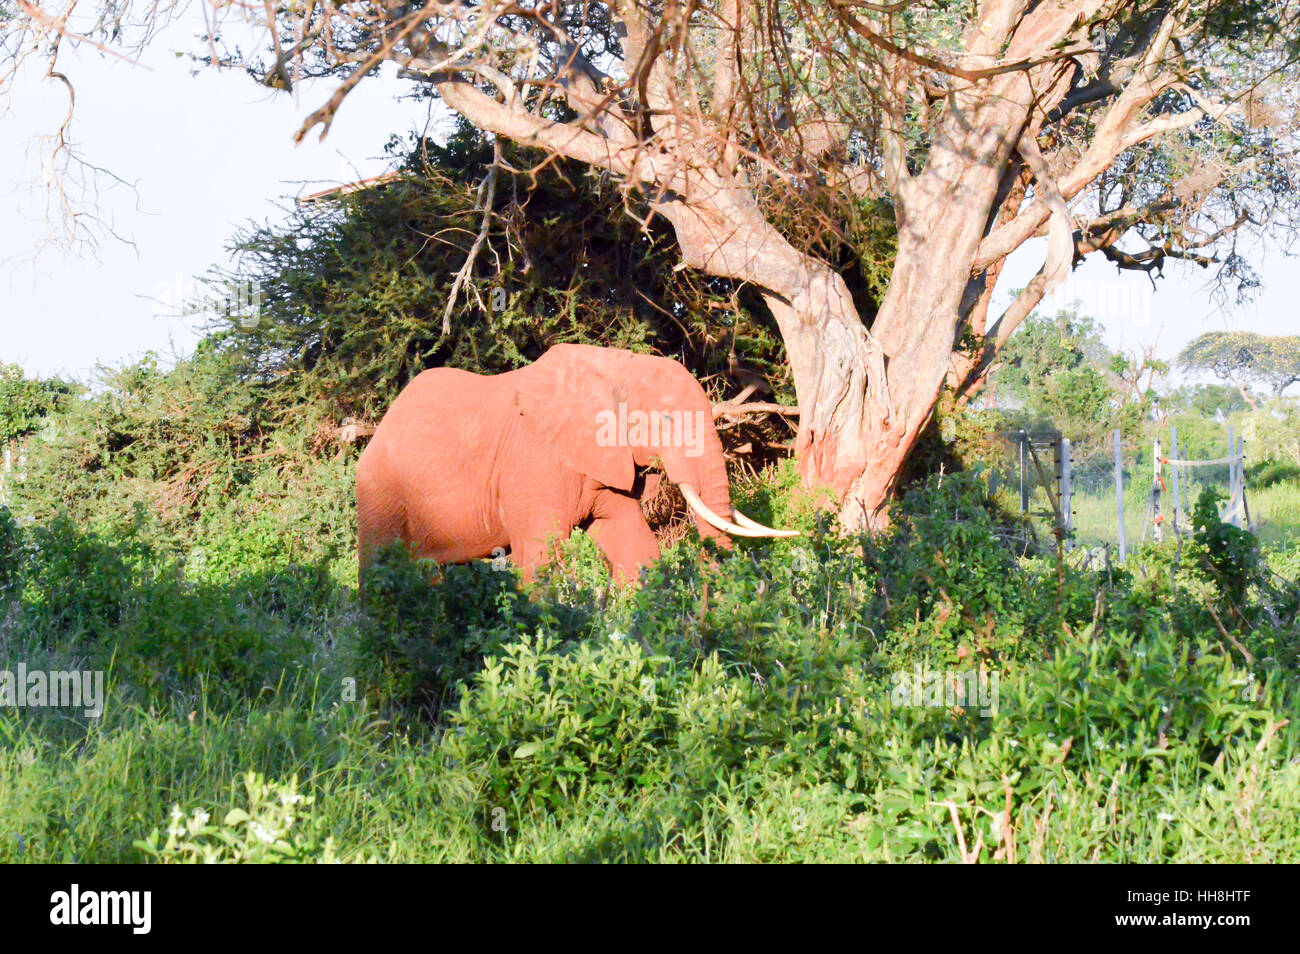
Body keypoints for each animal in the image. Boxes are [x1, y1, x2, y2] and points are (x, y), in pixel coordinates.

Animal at [356, 343, 796, 585]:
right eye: (669, 420)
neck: (618, 364)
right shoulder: (534, 460)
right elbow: (541, 555)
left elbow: (631, 541)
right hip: (380, 491)